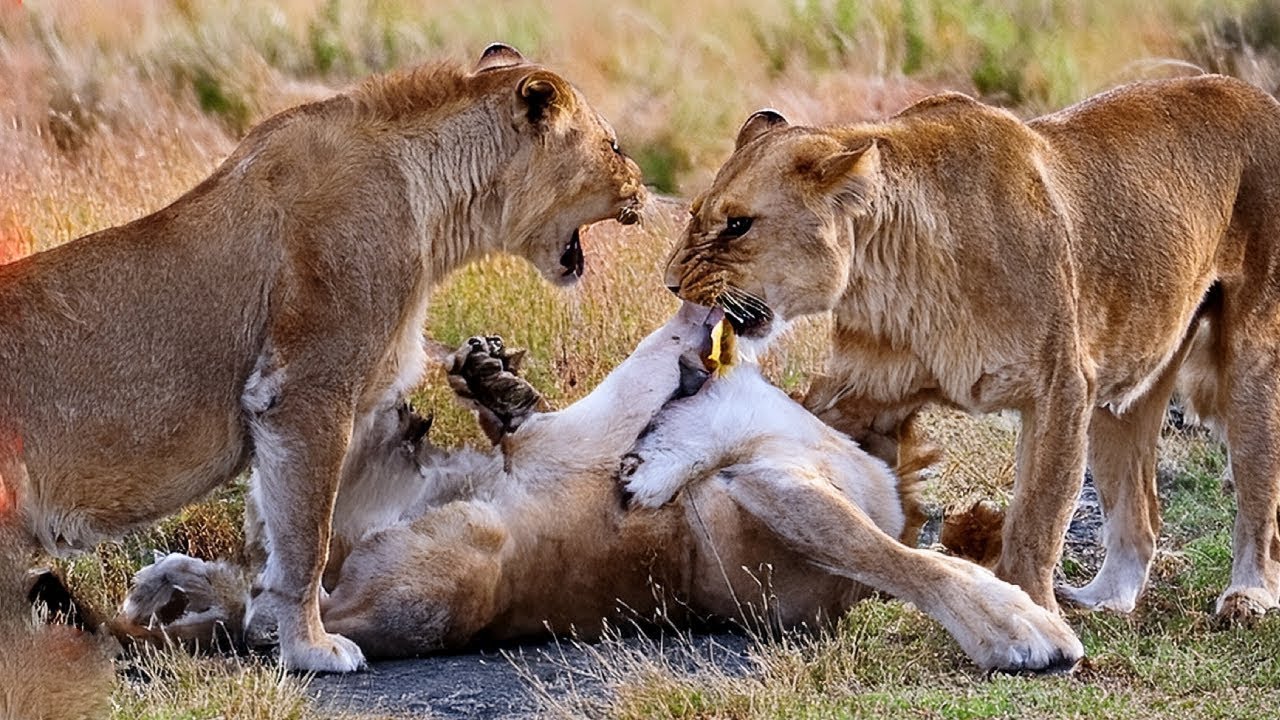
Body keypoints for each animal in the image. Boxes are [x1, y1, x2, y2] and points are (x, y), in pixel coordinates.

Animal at [0, 43, 644, 672]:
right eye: (613, 146)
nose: (641, 185)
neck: (436, 202)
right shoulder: (303, 391)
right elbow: (308, 539)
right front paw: (312, 649)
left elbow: (278, 533)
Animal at [114, 303, 1082, 673]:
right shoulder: (765, 477)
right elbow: (894, 550)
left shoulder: (769, 482)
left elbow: (898, 556)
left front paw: (1013, 624)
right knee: (265, 588)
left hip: (464, 559)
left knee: (263, 606)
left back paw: (178, 593)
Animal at [656, 74, 1280, 620]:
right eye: (695, 214)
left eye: (738, 225)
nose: (670, 282)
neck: (887, 271)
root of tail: (1255, 93)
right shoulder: (863, 393)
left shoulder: (1060, 386)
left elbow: (1036, 516)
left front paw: (1032, 608)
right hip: (1126, 379)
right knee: (1141, 511)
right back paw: (1106, 599)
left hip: (1252, 363)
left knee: (1257, 495)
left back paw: (1246, 598)